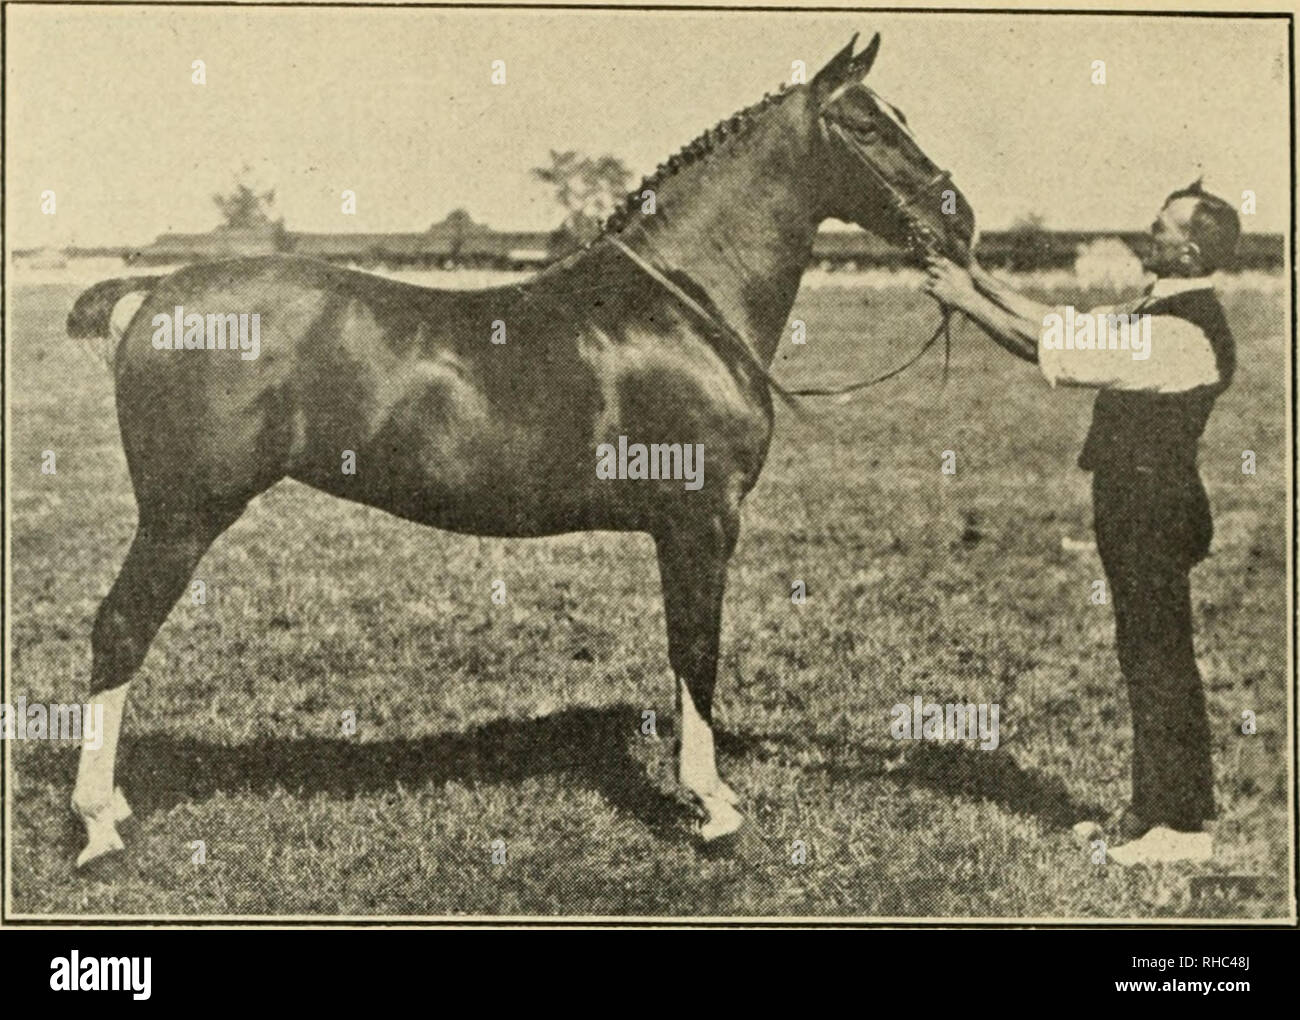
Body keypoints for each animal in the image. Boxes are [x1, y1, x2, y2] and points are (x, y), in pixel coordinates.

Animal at [64, 32, 973, 868]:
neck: (685, 305)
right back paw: (99, 824)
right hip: (182, 515)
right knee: (120, 630)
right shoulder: (701, 523)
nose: (960, 219)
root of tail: (156, 292)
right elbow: (696, 653)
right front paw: (713, 806)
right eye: (866, 123)